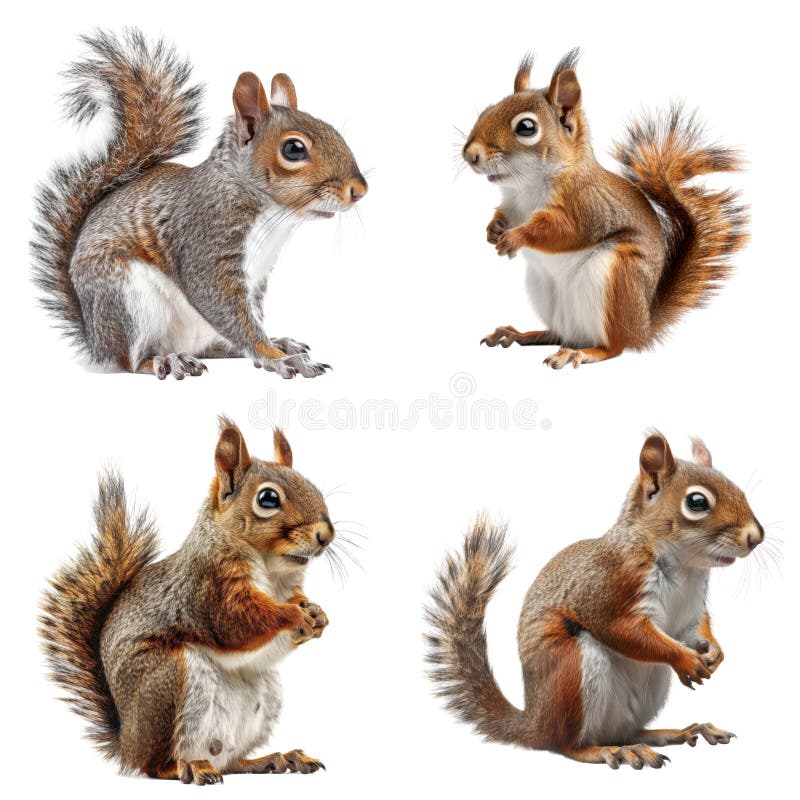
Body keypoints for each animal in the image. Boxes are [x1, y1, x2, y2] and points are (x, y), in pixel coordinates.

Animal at [31, 29, 367, 380]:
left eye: (332, 129)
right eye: (293, 149)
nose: (359, 189)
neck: (270, 212)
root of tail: (97, 342)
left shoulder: (256, 277)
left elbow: (248, 319)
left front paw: (277, 348)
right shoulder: (205, 237)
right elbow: (222, 304)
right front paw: (276, 357)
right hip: (127, 301)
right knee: (131, 361)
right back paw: (166, 360)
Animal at [39, 418, 337, 784]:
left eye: (313, 486)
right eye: (268, 499)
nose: (326, 535)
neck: (271, 569)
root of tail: (127, 744)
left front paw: (317, 615)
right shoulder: (205, 589)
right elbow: (237, 624)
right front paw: (292, 615)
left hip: (263, 694)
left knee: (231, 761)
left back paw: (275, 758)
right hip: (166, 683)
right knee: (156, 766)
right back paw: (191, 767)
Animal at [426, 432, 764, 769]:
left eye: (738, 489)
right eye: (697, 502)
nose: (756, 537)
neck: (686, 566)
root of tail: (535, 724)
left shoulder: (691, 609)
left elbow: (693, 630)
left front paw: (715, 651)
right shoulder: (611, 587)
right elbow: (625, 631)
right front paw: (685, 658)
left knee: (625, 731)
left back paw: (675, 732)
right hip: (574, 671)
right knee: (568, 744)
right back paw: (610, 751)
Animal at [462, 50, 748, 368]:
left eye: (526, 128)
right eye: (487, 110)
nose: (470, 155)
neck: (526, 187)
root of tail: (643, 327)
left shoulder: (588, 206)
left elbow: (562, 231)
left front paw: (516, 237)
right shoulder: (513, 205)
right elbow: (504, 215)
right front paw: (493, 229)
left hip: (615, 281)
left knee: (613, 345)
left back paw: (580, 352)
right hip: (545, 291)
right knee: (558, 333)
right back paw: (521, 334)